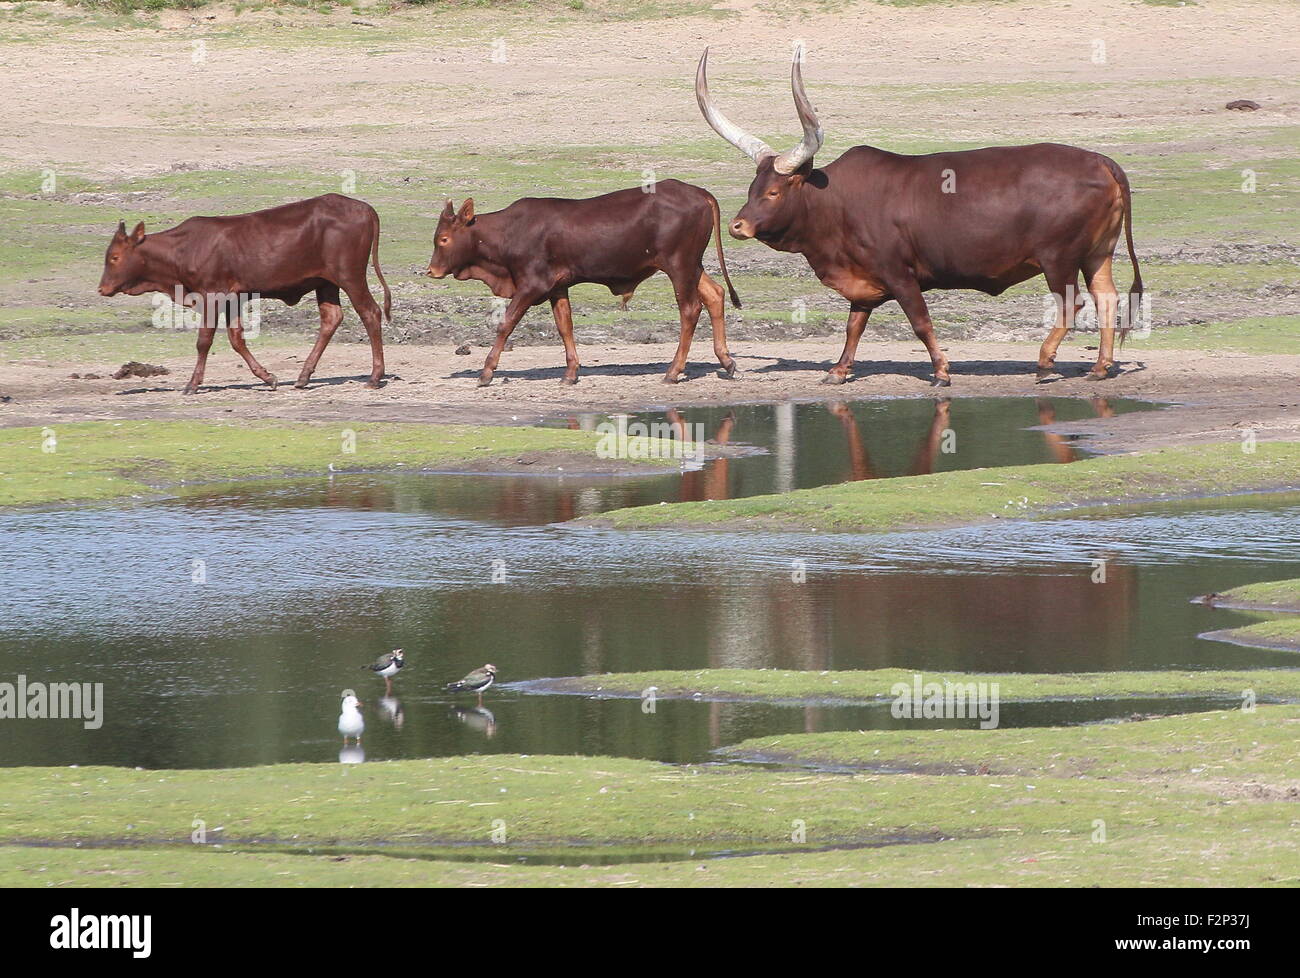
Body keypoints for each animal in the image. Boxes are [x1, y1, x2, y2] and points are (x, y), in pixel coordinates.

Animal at [97, 193, 391, 394]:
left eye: (114, 257)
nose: (102, 288)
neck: (183, 249)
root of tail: (363, 207)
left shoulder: (212, 295)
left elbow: (204, 341)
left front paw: (193, 383)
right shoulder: (233, 298)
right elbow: (237, 339)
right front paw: (267, 377)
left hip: (350, 276)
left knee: (370, 313)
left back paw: (375, 377)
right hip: (325, 283)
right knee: (331, 318)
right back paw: (304, 376)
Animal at [424, 181, 741, 386]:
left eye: (444, 239)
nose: (431, 270)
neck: (510, 232)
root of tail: (699, 193)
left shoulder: (532, 285)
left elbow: (506, 323)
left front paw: (487, 371)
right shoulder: (557, 287)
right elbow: (565, 326)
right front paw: (571, 371)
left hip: (679, 266)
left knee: (690, 309)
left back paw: (674, 370)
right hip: (691, 266)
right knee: (715, 295)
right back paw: (725, 361)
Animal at [695, 48, 1144, 386]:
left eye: (774, 192)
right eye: (752, 188)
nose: (737, 225)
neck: (836, 203)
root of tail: (1101, 161)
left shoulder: (900, 274)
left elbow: (920, 322)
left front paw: (942, 370)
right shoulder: (863, 279)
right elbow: (854, 326)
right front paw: (839, 370)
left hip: (1059, 258)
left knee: (1072, 302)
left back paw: (1046, 361)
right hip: (1097, 254)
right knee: (1106, 297)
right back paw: (1100, 368)